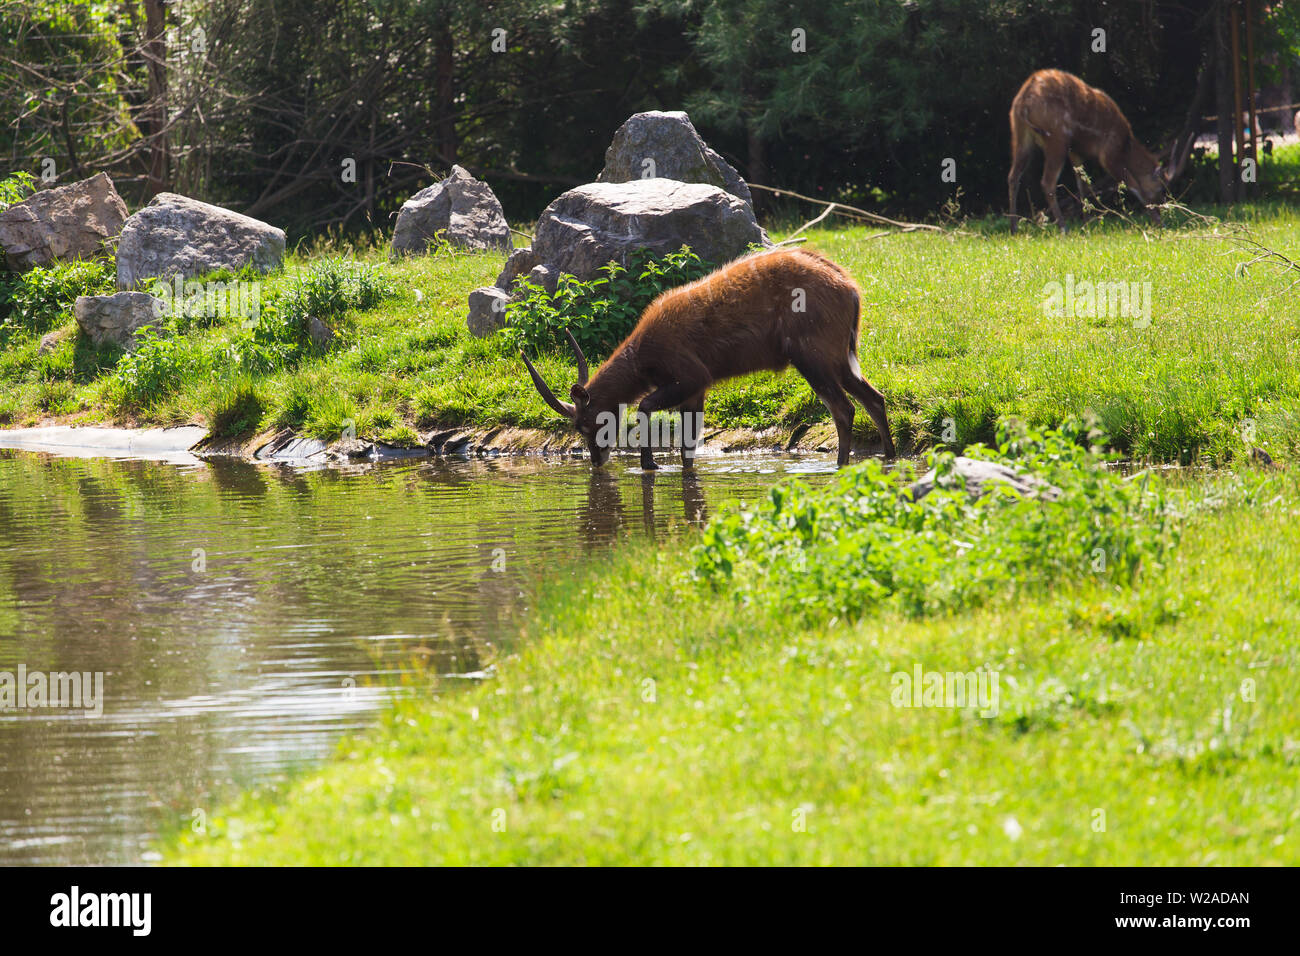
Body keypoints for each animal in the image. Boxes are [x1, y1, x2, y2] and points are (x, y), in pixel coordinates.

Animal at [520, 247, 896, 470]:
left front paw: (650, 465)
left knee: (844, 409)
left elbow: (644, 407)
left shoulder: (692, 378)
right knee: (874, 399)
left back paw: (842, 465)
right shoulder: (695, 392)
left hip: (812, 358)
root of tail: (851, 288)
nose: (597, 460)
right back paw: (889, 457)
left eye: (584, 423)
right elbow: (688, 446)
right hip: (838, 359)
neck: (642, 354)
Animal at [1008, 69, 1192, 234]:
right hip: (1057, 138)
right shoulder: (1109, 155)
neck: (1126, 142)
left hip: (1021, 135)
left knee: (1013, 176)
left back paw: (1014, 228)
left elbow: (1083, 185)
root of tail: (1024, 103)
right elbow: (1133, 185)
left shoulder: (1076, 152)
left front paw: (1087, 225)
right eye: (1161, 189)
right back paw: (1063, 228)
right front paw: (1159, 222)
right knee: (1047, 181)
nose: (1162, 209)